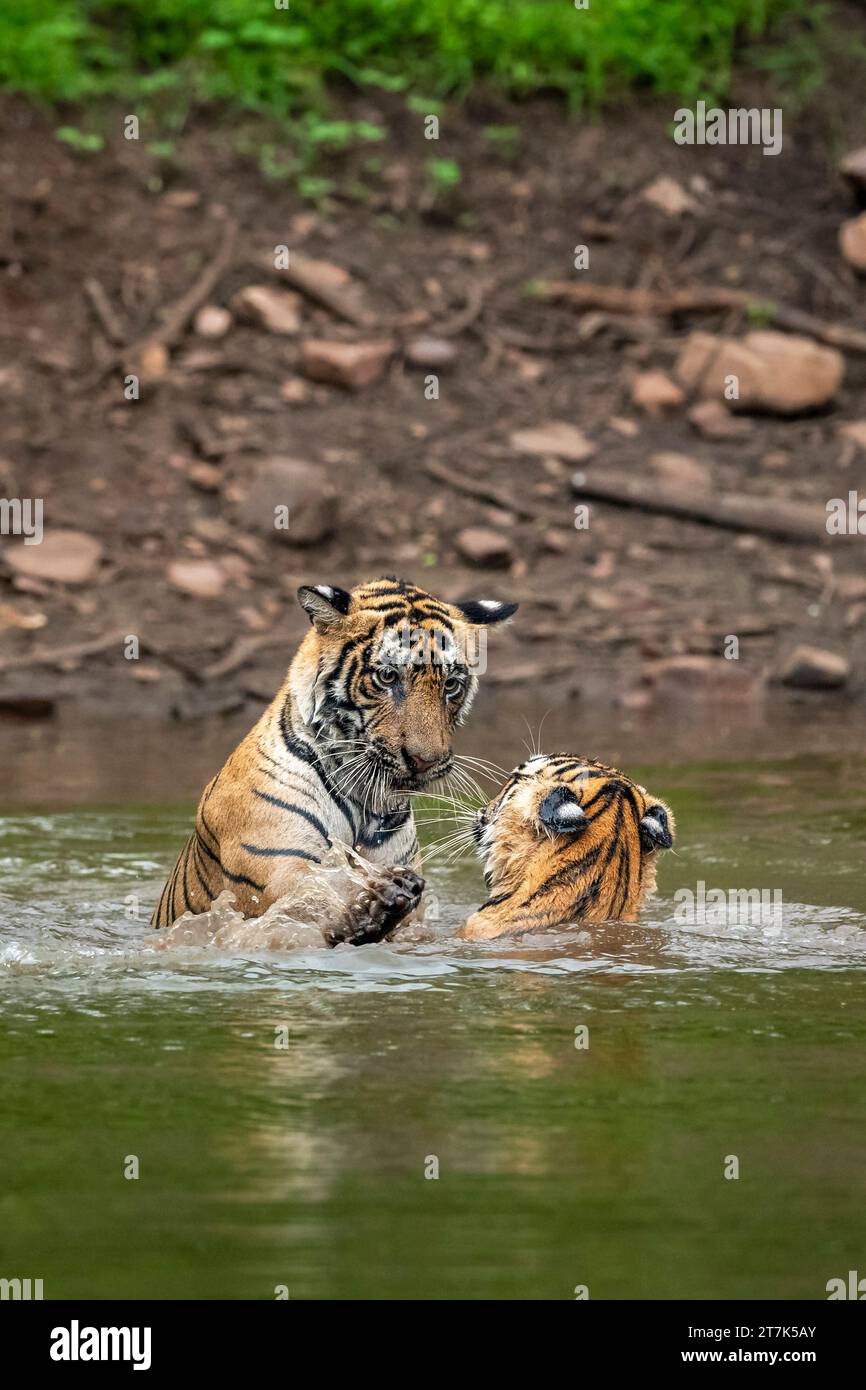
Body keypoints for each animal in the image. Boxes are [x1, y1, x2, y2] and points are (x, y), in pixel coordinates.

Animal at [152, 576, 517, 944]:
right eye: (388, 677)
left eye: (451, 684)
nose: (425, 760)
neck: (365, 799)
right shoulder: (272, 865)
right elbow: (310, 895)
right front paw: (374, 905)